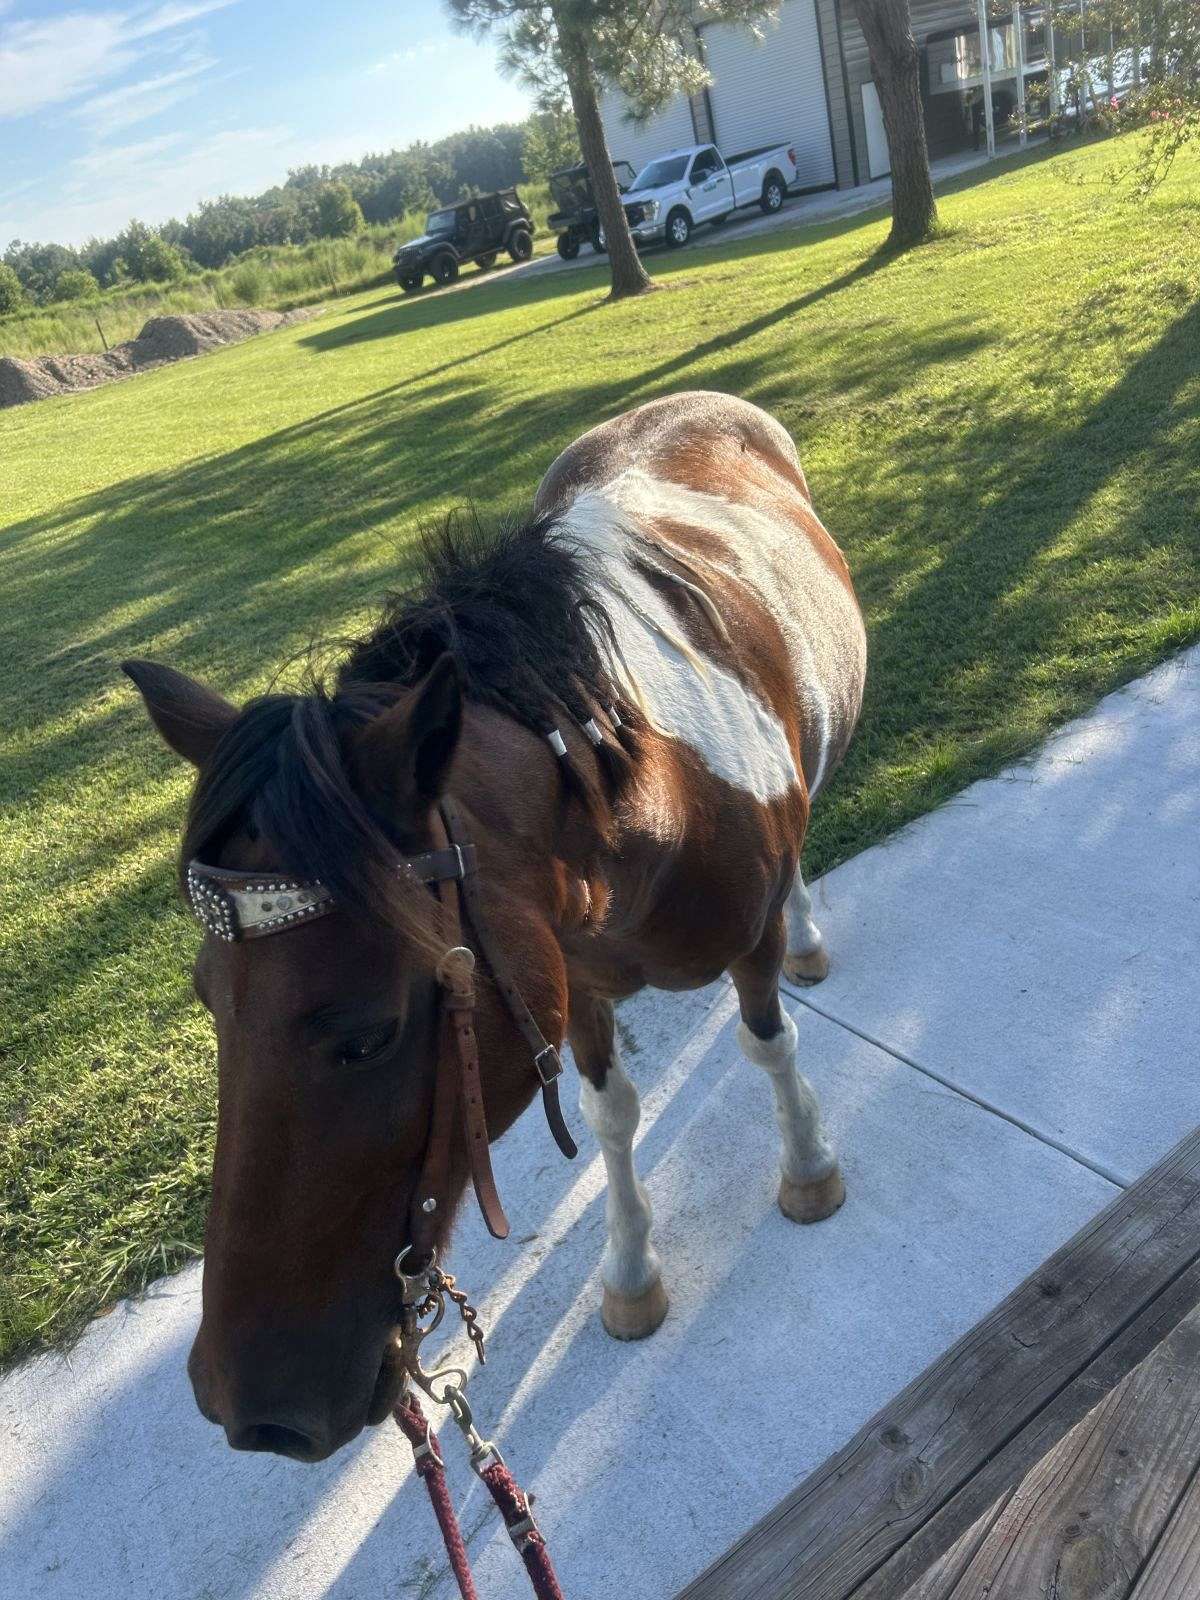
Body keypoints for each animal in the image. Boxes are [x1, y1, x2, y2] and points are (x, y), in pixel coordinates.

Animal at [124, 390, 867, 1464]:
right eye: (207, 1001)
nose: (248, 1408)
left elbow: (768, 1044)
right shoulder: (571, 981)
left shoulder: (744, 941)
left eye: (369, 1036)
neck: (648, 796)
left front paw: (808, 1167)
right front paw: (631, 1269)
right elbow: (611, 1114)